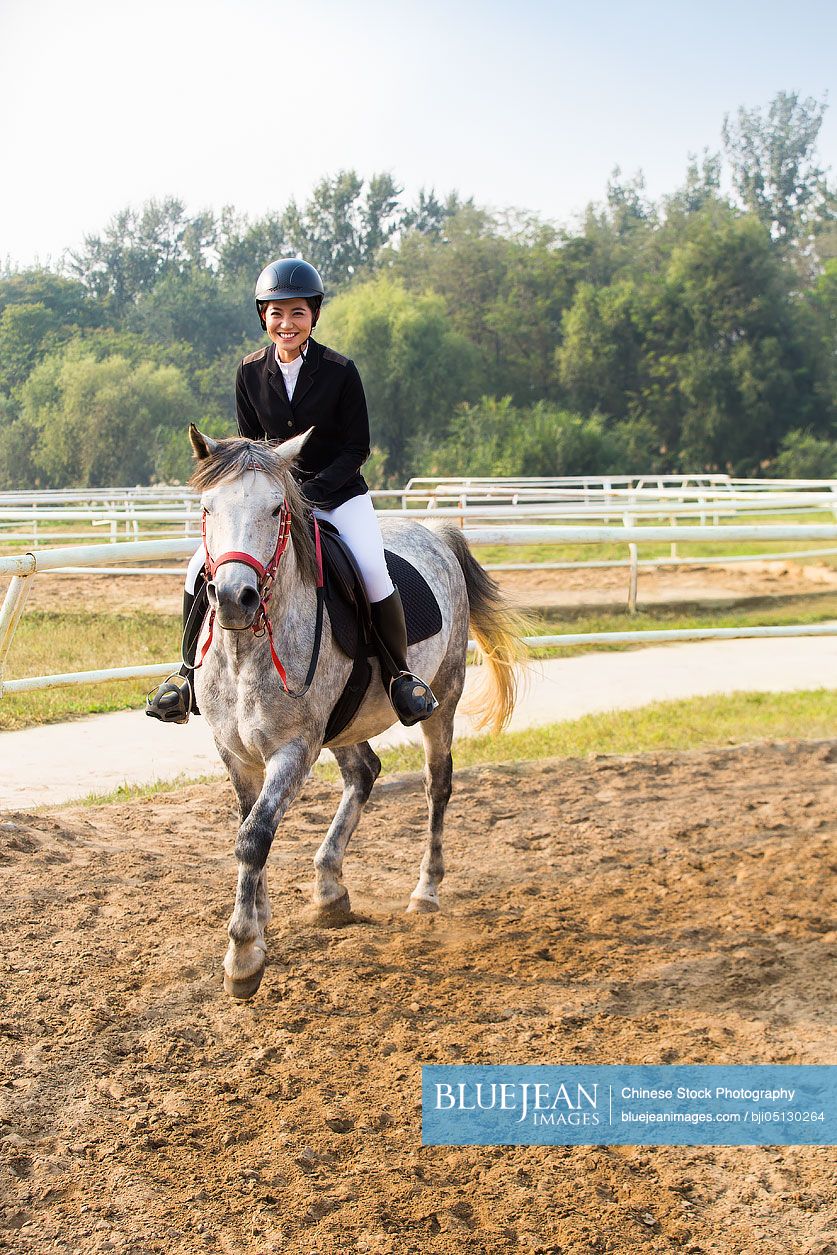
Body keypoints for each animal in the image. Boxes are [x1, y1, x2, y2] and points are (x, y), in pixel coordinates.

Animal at [187, 425, 528, 999]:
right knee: (364, 772)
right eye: (209, 508)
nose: (234, 597)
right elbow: (249, 829)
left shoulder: (293, 750)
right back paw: (329, 888)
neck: (246, 651)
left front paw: (243, 956)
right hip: (343, 727)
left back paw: (425, 891)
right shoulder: (234, 752)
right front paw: (260, 921)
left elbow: (254, 837)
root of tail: (436, 533)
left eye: (277, 508)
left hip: (442, 700)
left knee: (437, 785)